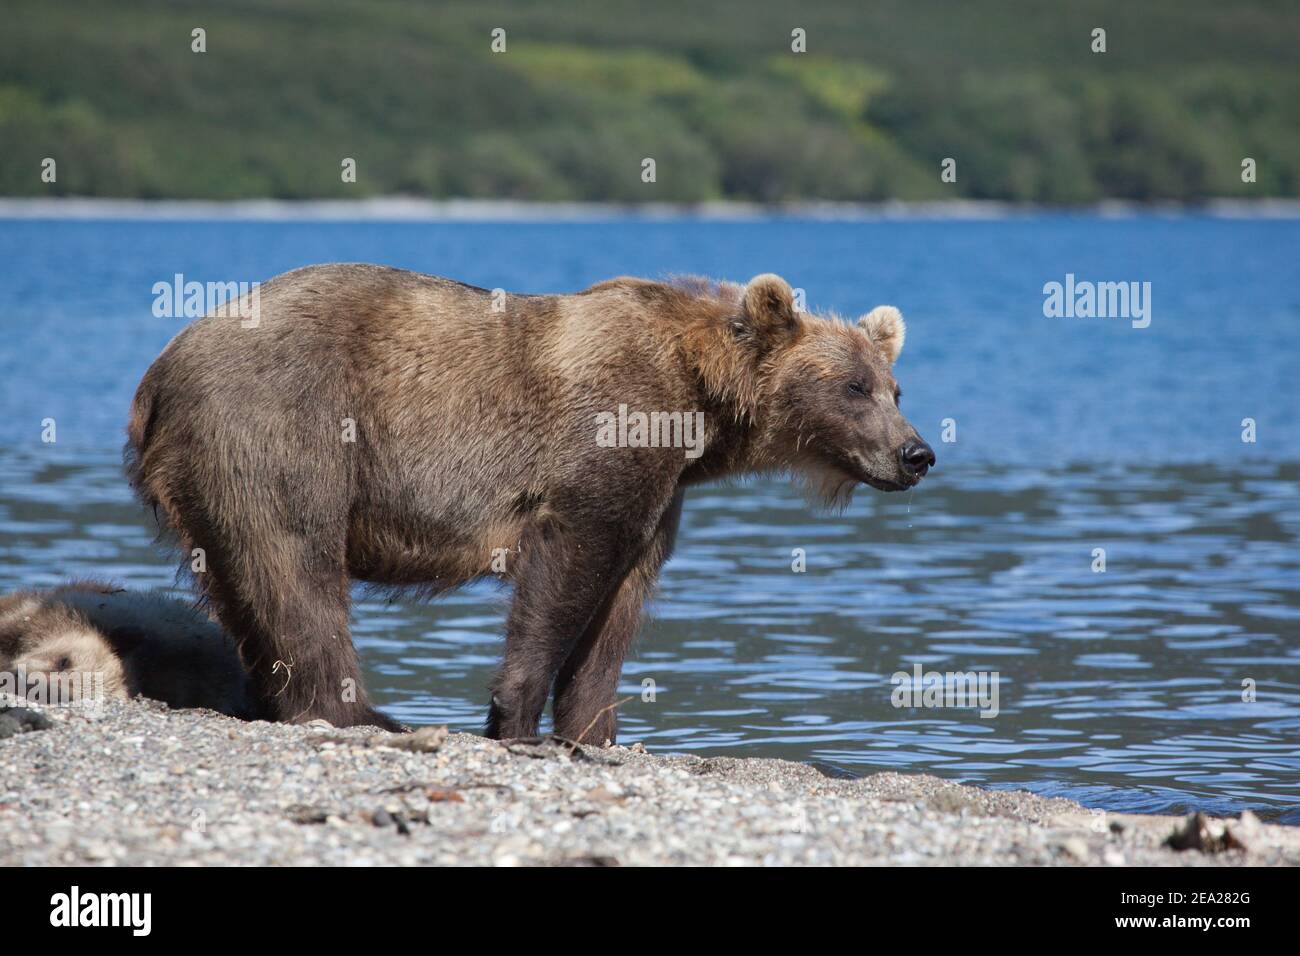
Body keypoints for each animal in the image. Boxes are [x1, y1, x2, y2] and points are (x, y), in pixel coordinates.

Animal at [125, 265, 934, 741]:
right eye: (854, 387)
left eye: (896, 389)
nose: (917, 453)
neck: (698, 406)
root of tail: (160, 369)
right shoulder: (605, 436)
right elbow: (568, 570)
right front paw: (513, 718)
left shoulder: (662, 488)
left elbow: (620, 603)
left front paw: (594, 731)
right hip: (284, 421)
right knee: (295, 562)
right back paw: (360, 712)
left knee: (242, 578)